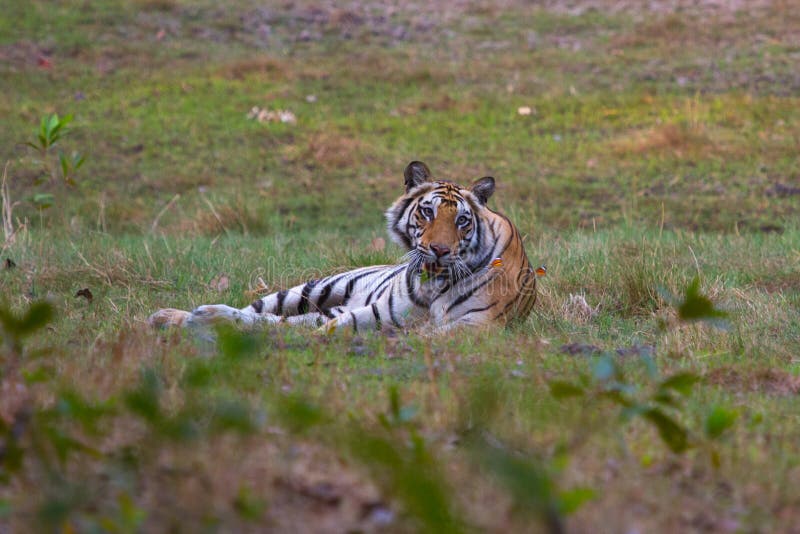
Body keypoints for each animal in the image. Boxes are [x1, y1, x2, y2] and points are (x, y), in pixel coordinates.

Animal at [148, 161, 538, 334]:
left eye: (462, 221)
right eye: (427, 212)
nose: (439, 250)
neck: (435, 281)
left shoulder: (476, 326)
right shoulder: (384, 312)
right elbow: (343, 325)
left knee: (279, 321)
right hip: (312, 289)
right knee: (259, 312)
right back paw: (177, 316)